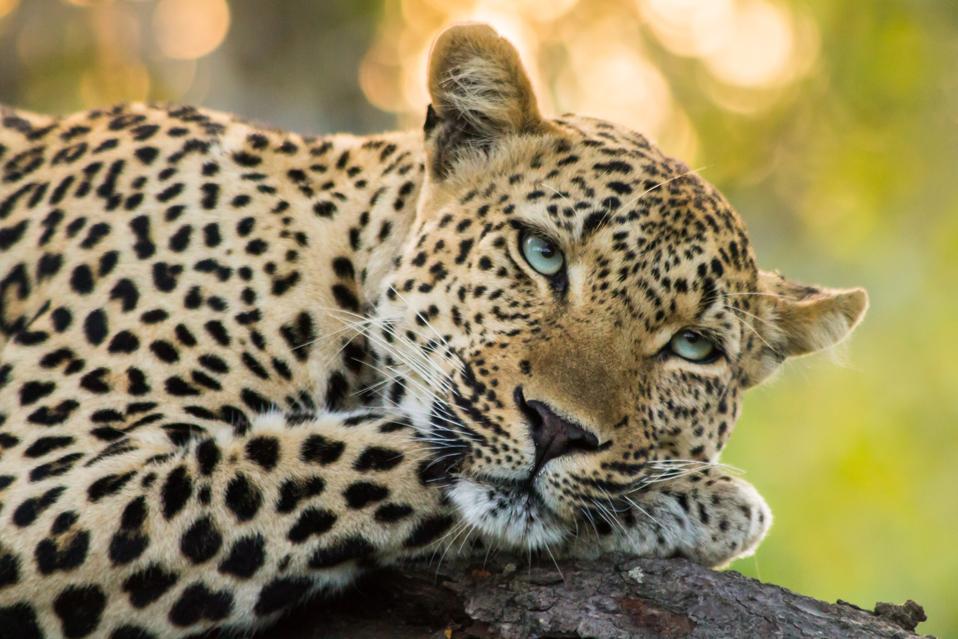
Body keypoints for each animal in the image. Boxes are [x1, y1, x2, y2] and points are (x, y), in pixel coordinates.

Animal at [0, 24, 867, 639]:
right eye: (542, 253)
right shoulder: (41, 489)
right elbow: (333, 452)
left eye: (694, 347)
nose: (558, 429)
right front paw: (710, 499)